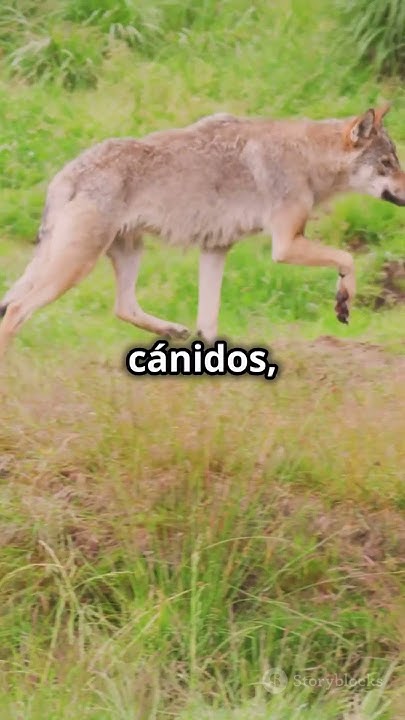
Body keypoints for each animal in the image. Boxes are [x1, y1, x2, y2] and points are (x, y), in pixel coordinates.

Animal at [0, 104, 404, 357]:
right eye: (387, 164)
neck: (307, 157)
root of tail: (65, 174)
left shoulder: (215, 249)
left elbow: (208, 322)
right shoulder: (285, 245)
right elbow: (347, 258)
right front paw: (344, 300)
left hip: (127, 254)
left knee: (123, 307)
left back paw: (172, 331)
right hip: (77, 266)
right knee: (16, 310)